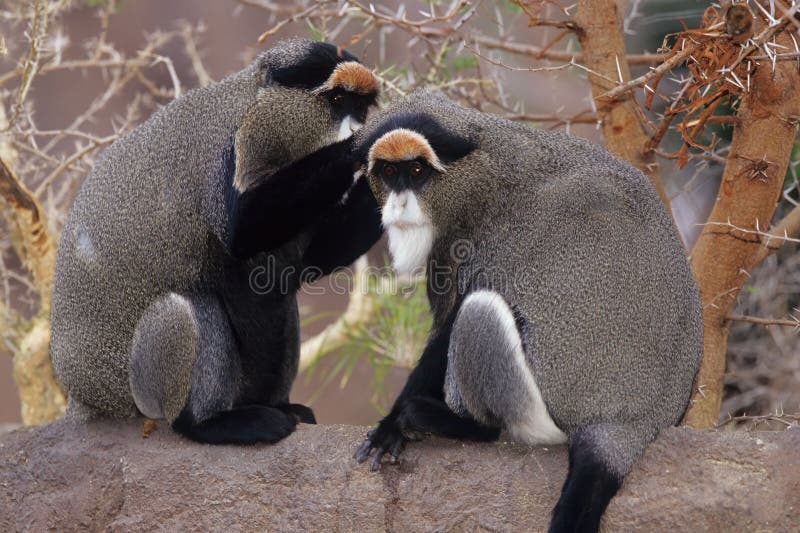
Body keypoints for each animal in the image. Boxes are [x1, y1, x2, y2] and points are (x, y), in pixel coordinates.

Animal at [50, 39, 382, 445]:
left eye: (360, 105)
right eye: (337, 99)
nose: (358, 124)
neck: (254, 109)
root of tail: (83, 397)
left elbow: (303, 263)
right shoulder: (225, 159)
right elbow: (244, 236)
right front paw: (362, 144)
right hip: (130, 387)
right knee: (188, 305)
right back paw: (206, 423)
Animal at [352, 91, 702, 533]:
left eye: (416, 171)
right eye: (388, 172)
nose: (398, 205)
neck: (486, 173)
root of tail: (627, 426)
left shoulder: (490, 246)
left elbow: (449, 328)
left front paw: (391, 424)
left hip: (541, 410)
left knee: (480, 313)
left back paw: (460, 424)